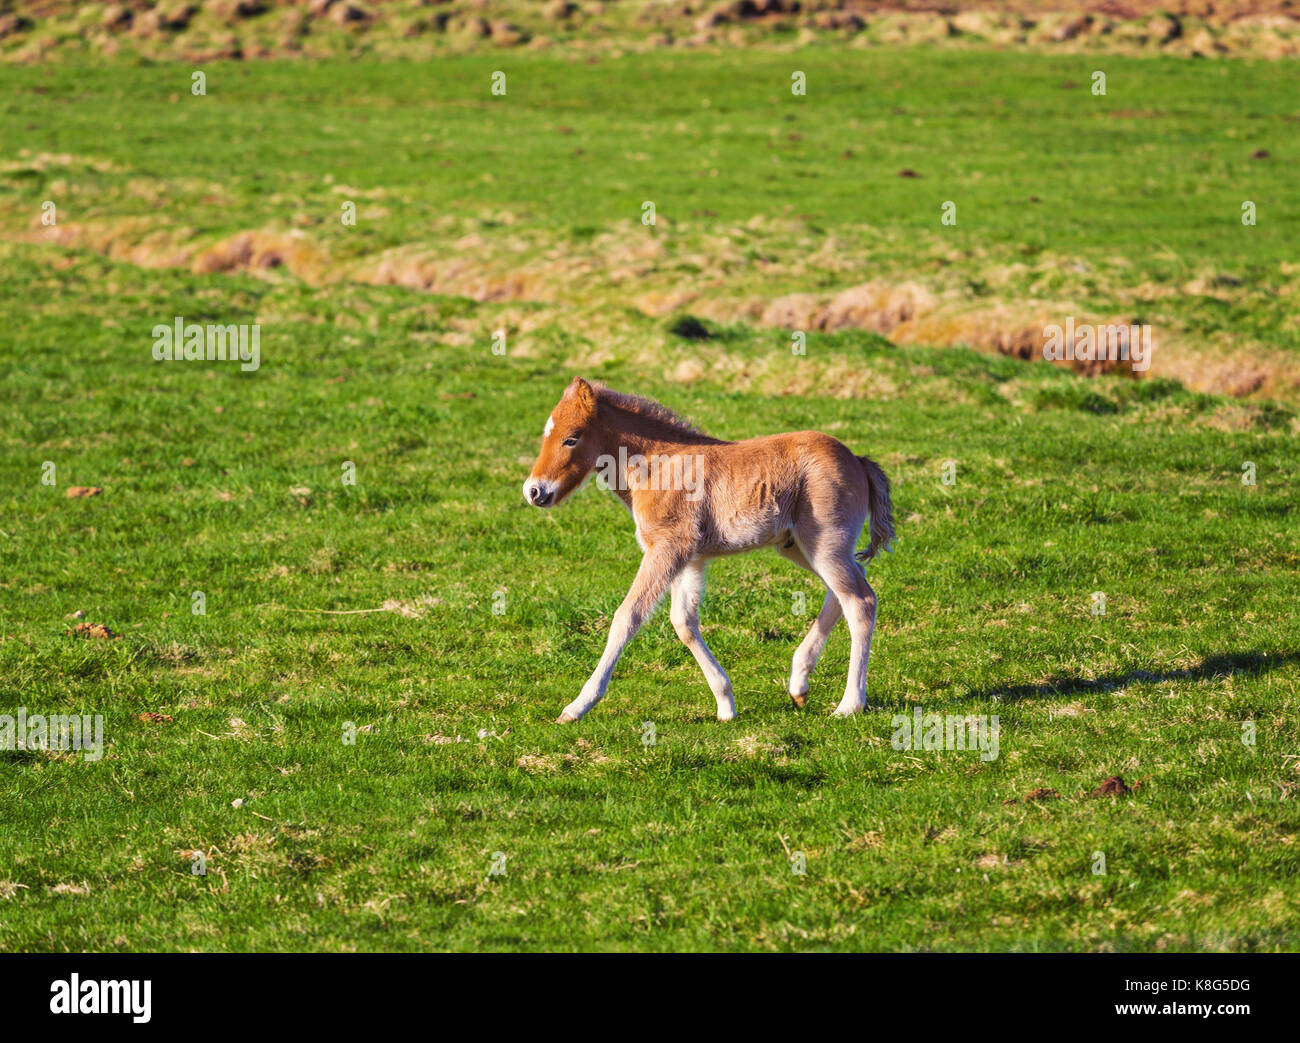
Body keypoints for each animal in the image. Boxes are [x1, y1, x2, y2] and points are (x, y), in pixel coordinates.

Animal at [523, 377, 895, 723]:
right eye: (545, 434)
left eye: (572, 438)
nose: (534, 491)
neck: (658, 465)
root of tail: (858, 460)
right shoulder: (691, 558)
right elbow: (683, 622)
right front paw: (726, 704)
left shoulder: (666, 547)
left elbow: (627, 616)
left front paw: (577, 706)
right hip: (801, 547)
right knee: (846, 588)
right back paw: (798, 684)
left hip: (825, 542)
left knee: (860, 601)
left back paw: (849, 705)